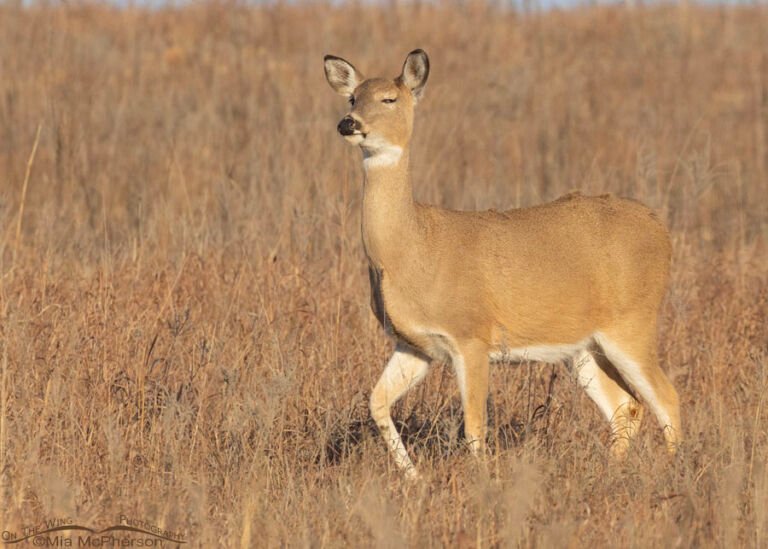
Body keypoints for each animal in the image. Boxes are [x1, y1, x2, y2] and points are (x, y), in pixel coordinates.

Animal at [324, 49, 681, 479]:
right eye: (352, 97)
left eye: (389, 99)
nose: (348, 123)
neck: (412, 248)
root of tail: (661, 230)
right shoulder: (415, 345)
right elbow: (376, 401)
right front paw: (414, 478)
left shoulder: (471, 336)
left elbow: (475, 427)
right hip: (583, 347)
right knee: (625, 405)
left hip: (632, 324)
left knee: (667, 399)